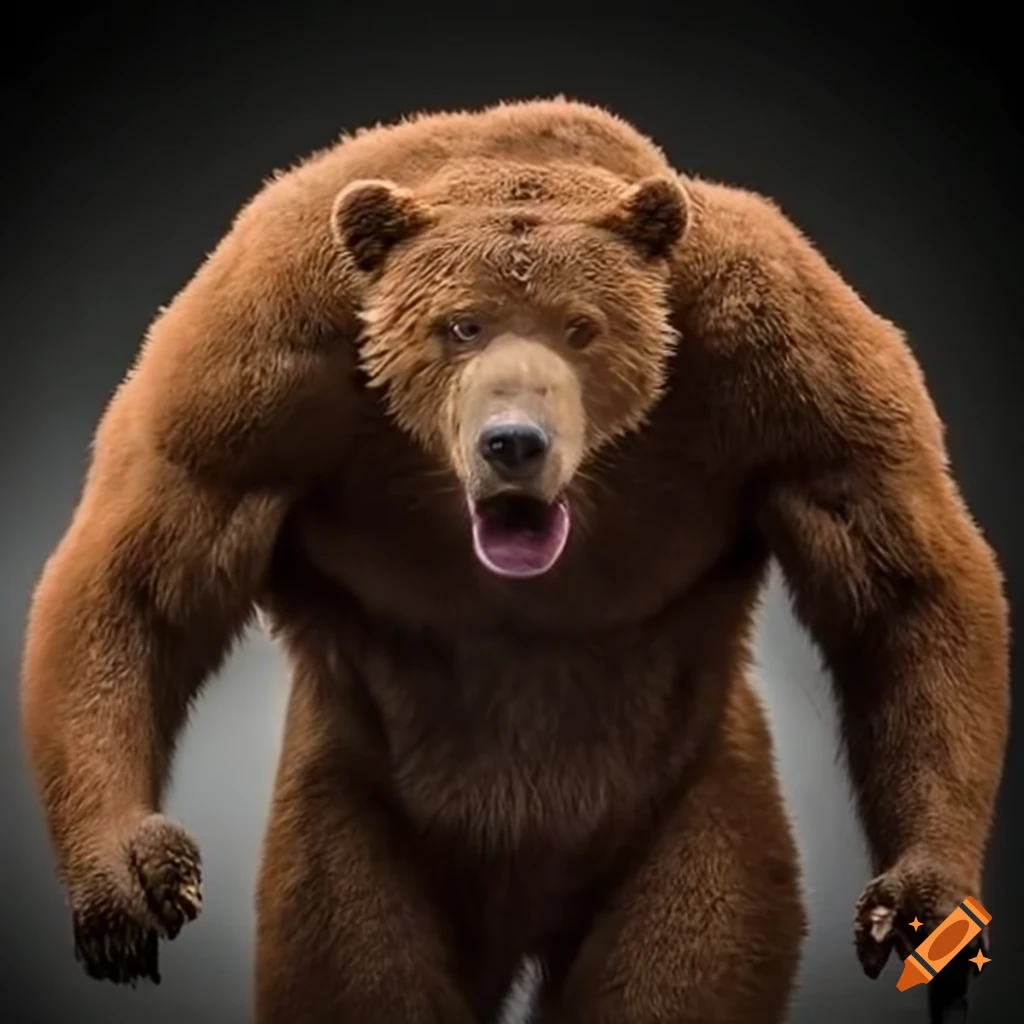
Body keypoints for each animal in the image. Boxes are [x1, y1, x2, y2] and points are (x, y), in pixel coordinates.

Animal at [20, 97, 1009, 1024]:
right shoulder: (255, 361)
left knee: (684, 954)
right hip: (363, 823)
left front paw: (919, 902)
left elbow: (897, 579)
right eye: (461, 324)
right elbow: (144, 574)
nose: (514, 441)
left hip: (688, 809)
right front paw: (132, 877)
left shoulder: (781, 353)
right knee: (356, 963)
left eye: (583, 326)